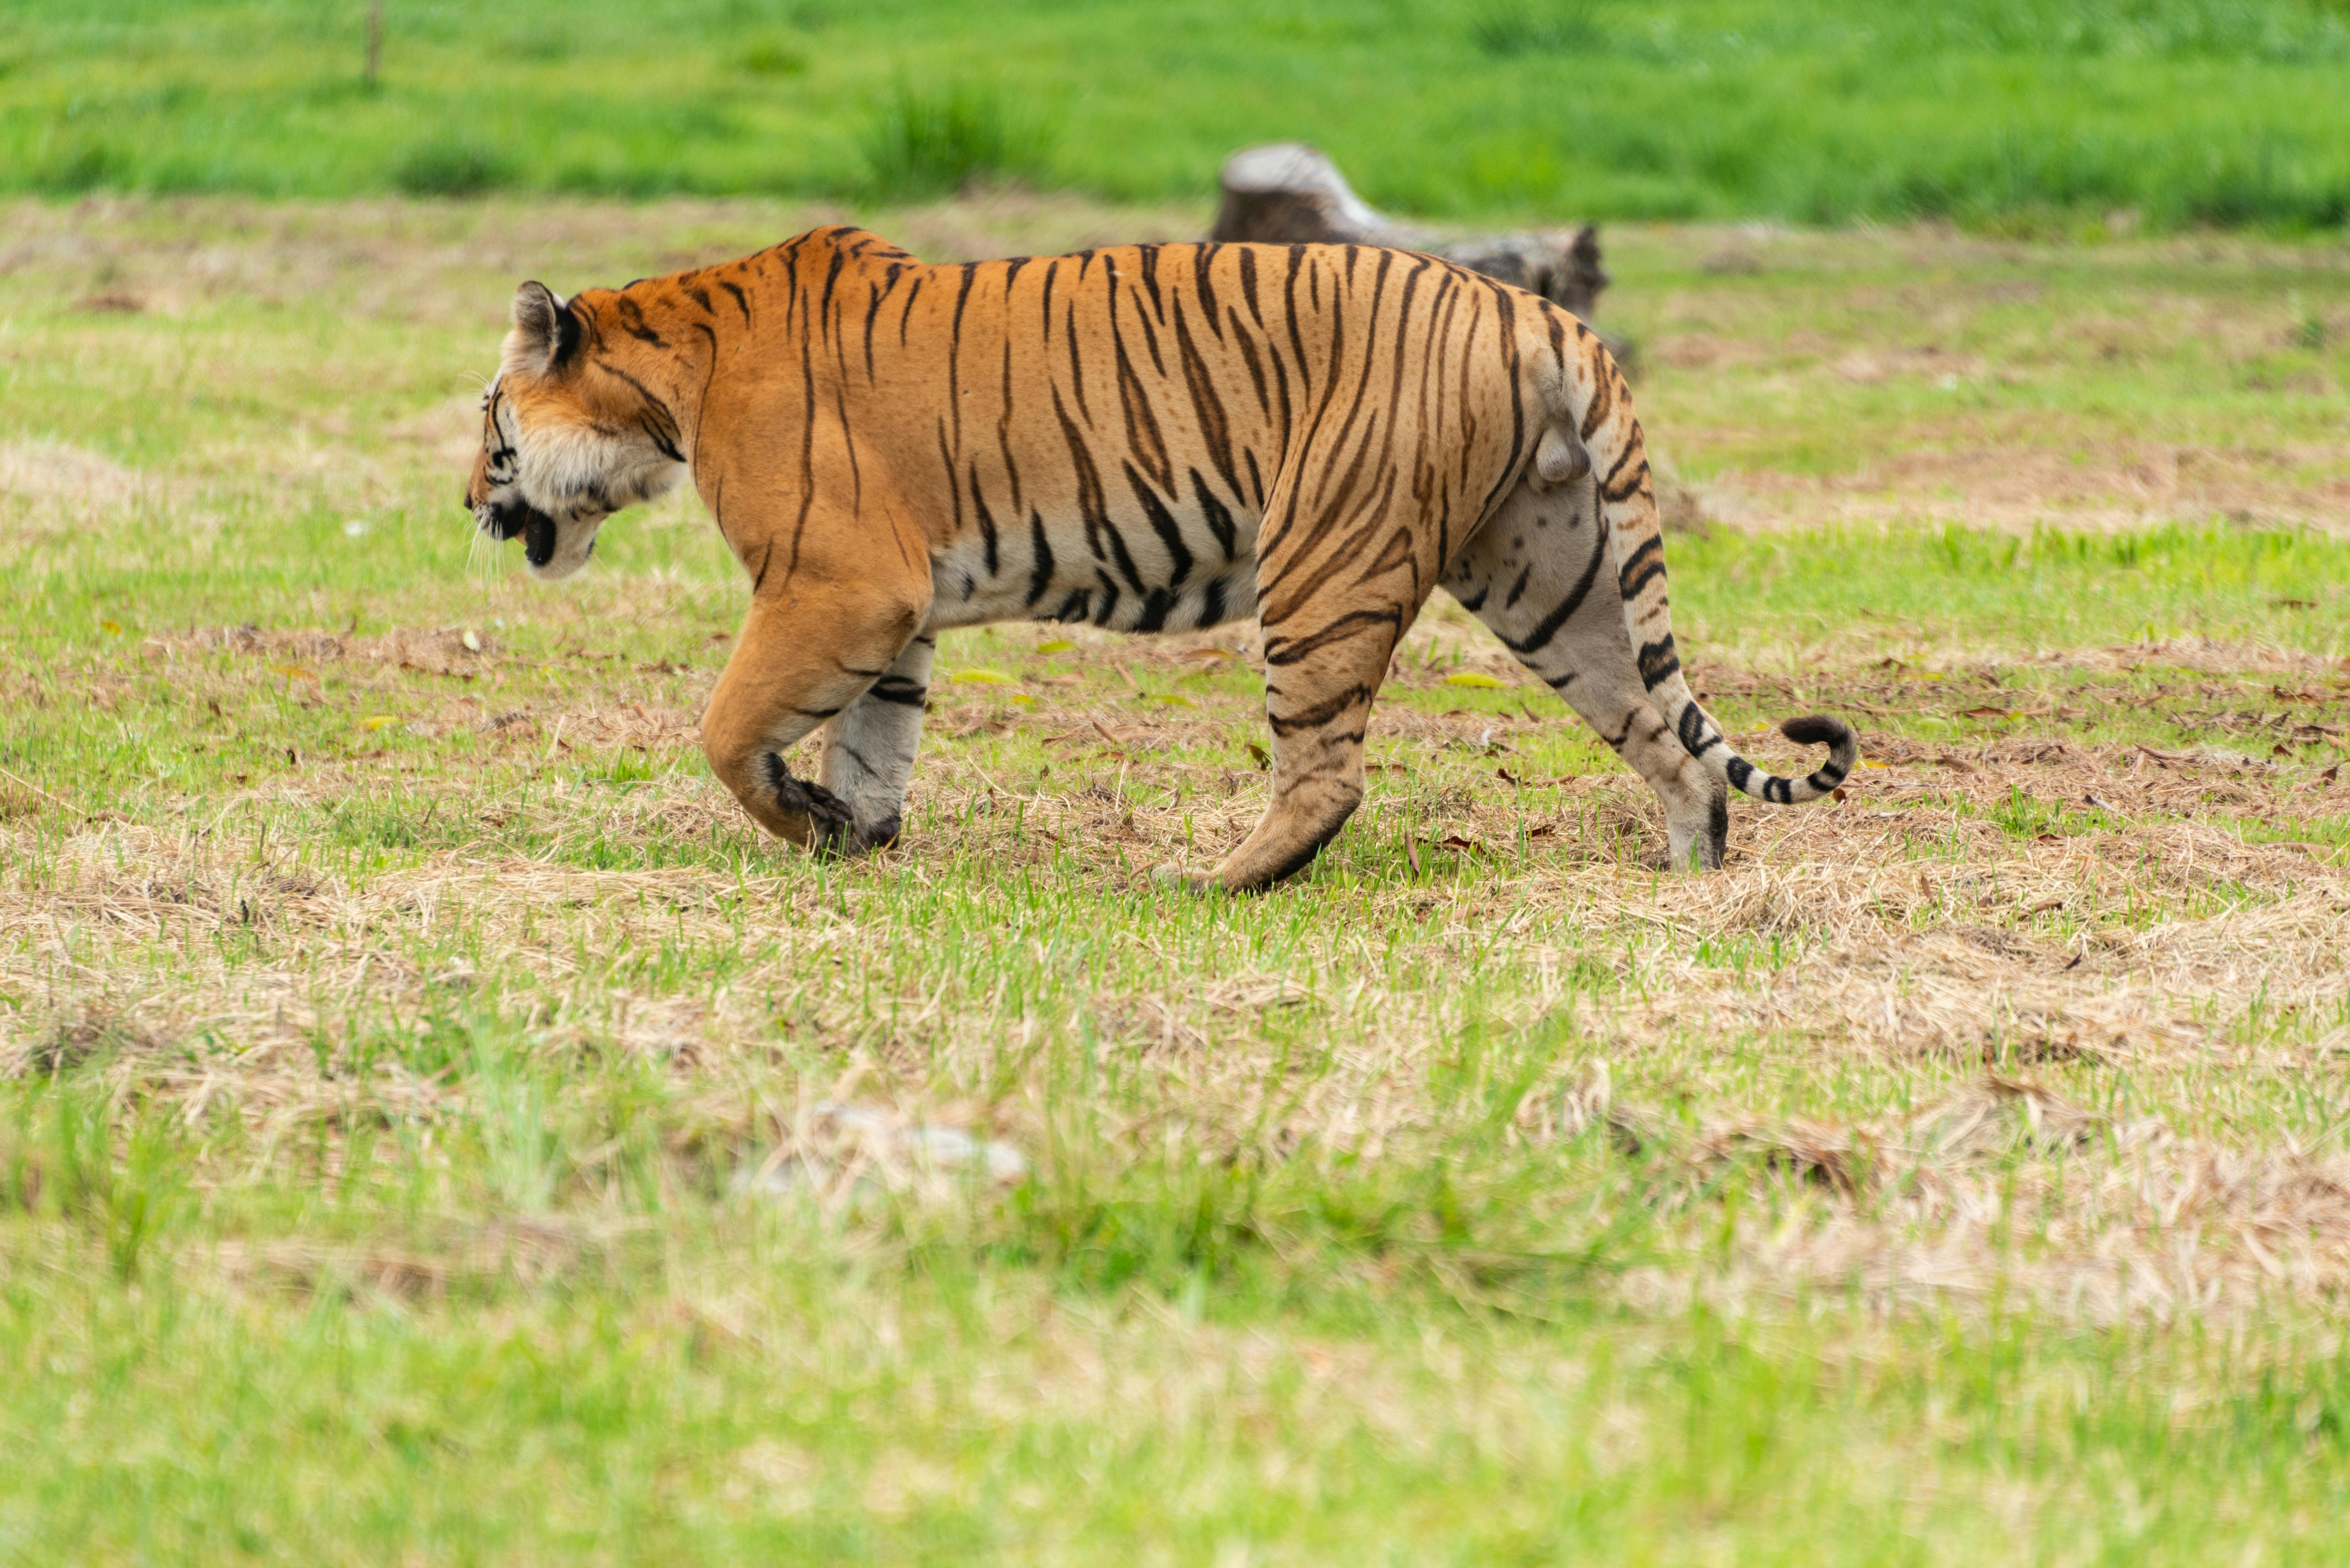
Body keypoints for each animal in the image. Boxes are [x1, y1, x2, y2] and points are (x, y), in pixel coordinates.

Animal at [464, 225, 1854, 889]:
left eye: (487, 424)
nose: (467, 503)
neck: (668, 387)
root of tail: (1535, 306)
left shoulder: (839, 587)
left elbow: (725, 730)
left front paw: (804, 822)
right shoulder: (894, 615)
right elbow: (871, 742)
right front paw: (850, 838)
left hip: (1323, 560)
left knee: (1326, 771)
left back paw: (1210, 884)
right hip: (1550, 572)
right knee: (1672, 739)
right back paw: (1691, 881)